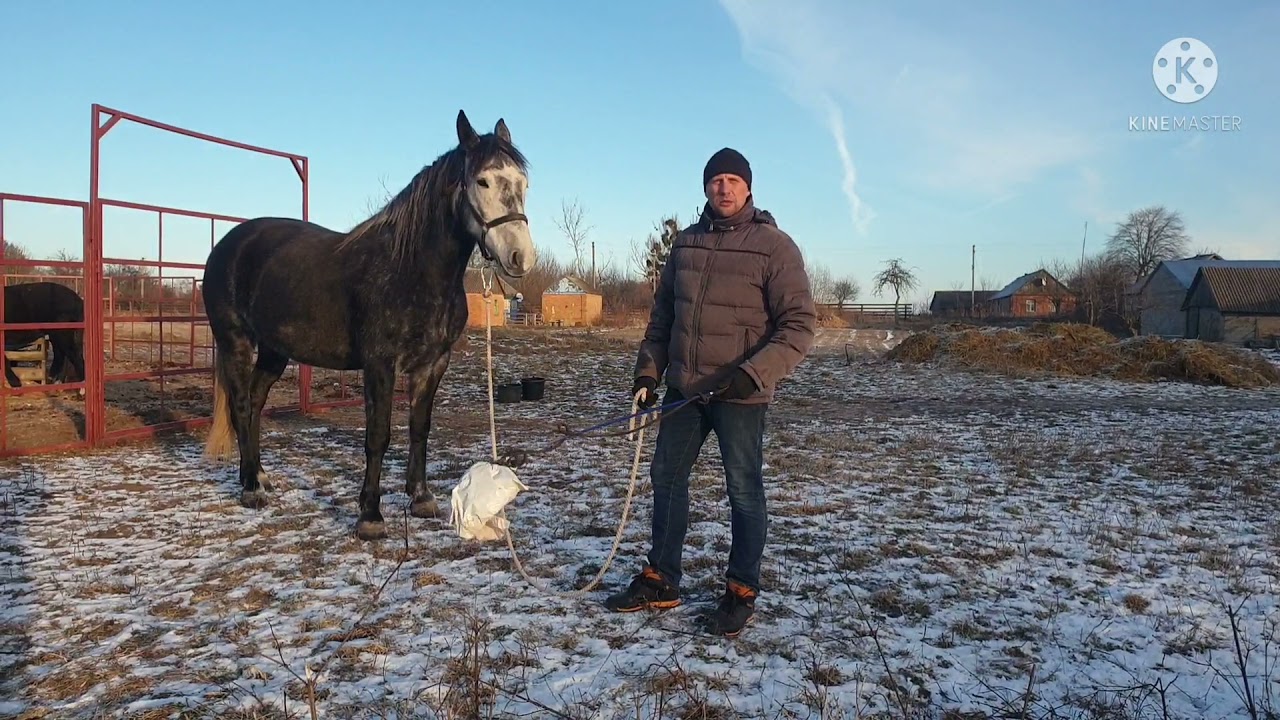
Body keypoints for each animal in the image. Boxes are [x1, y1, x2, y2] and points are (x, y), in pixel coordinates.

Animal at [201, 109, 535, 541]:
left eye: (523, 183)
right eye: (482, 181)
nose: (520, 257)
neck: (411, 270)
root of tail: (230, 243)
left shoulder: (433, 364)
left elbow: (420, 427)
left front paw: (421, 498)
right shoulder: (379, 364)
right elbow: (378, 436)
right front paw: (370, 516)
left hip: (275, 350)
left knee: (256, 402)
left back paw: (260, 476)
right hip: (236, 341)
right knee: (241, 405)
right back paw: (250, 489)